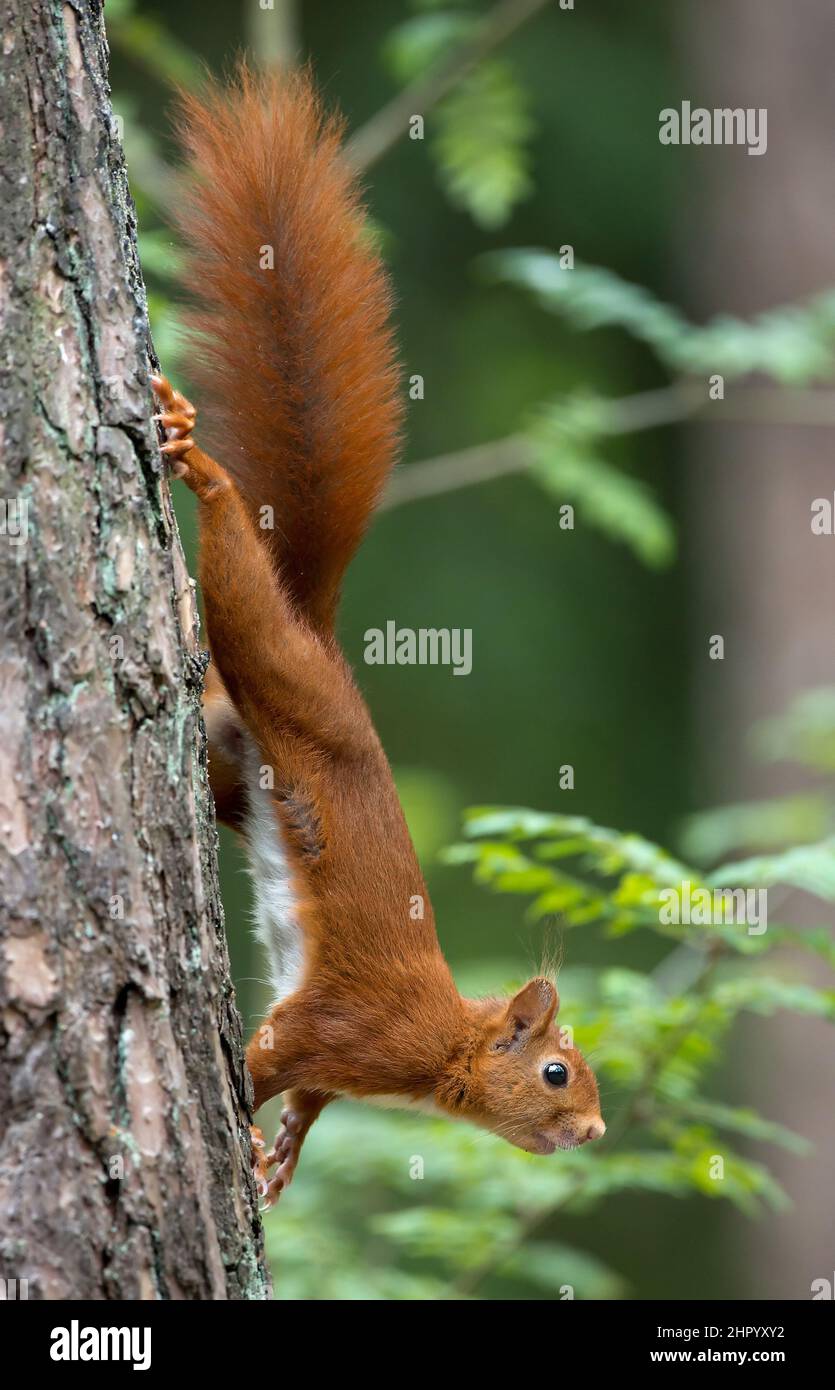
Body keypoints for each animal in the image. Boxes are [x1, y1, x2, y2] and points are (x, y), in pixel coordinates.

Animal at [151, 65, 604, 1206]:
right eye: (555, 1072)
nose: (593, 1130)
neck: (439, 1046)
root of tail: (318, 634)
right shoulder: (344, 1025)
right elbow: (273, 1055)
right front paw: (247, 1118)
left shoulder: (341, 1058)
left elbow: (309, 1101)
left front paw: (284, 1154)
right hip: (275, 665)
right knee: (239, 592)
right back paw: (203, 473)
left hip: (235, 759)